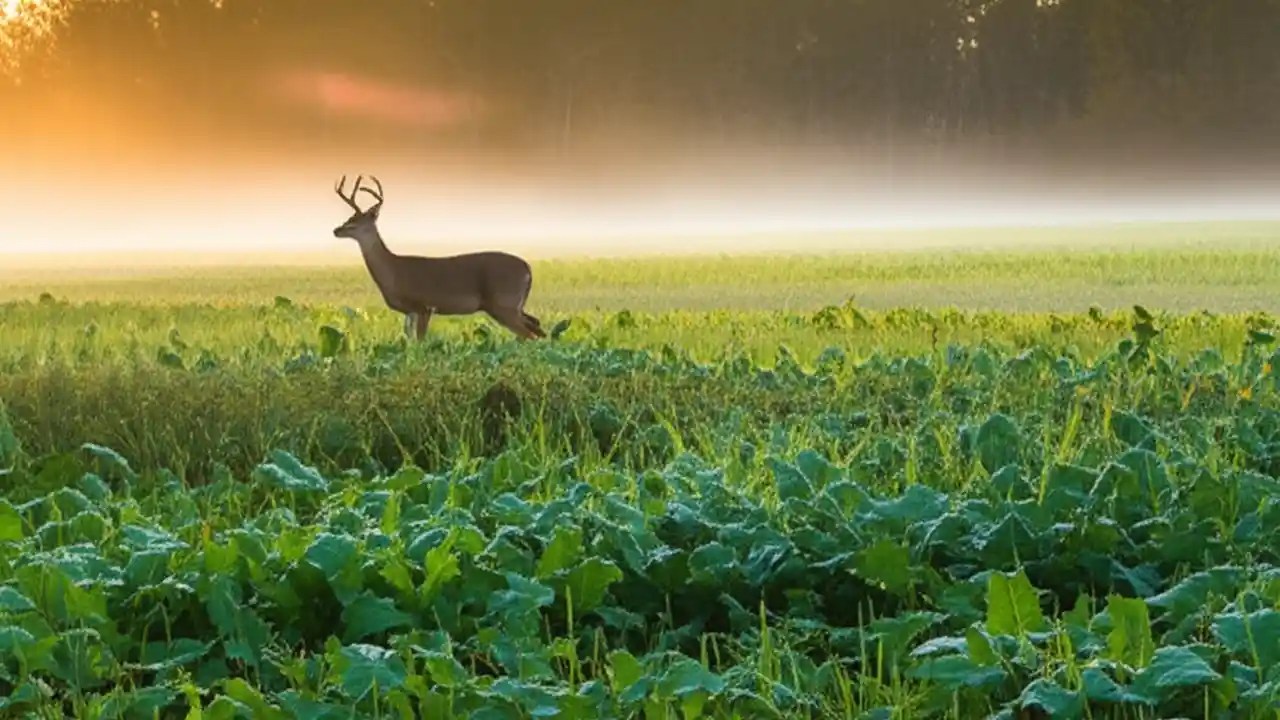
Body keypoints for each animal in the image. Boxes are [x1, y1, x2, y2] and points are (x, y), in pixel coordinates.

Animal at [331, 174, 546, 341]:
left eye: (355, 222)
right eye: (349, 218)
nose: (336, 230)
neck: (393, 270)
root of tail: (528, 268)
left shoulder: (425, 306)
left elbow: (421, 341)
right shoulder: (410, 312)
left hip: (503, 304)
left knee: (530, 334)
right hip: (513, 305)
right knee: (536, 326)